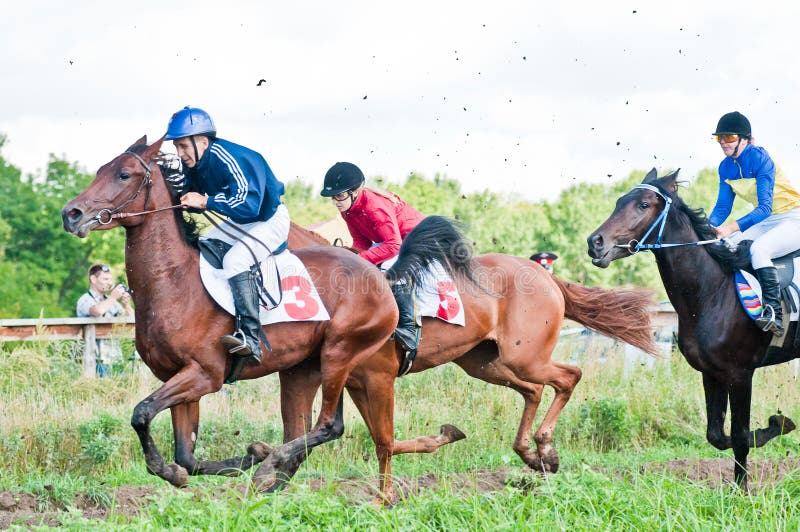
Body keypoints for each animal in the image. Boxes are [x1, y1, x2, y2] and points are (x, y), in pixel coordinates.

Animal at [61, 136, 444, 500]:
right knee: (313, 427)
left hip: (341, 350)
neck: (172, 280)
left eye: (124, 174)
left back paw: (270, 466)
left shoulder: (204, 374)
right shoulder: (180, 378)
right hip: (307, 367)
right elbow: (186, 455)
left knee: (328, 426)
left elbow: (141, 413)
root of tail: (380, 276)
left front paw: (246, 458)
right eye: (100, 170)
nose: (71, 213)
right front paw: (202, 467)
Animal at [281, 215, 659, 474]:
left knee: (568, 376)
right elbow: (380, 439)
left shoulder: (377, 376)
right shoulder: (358, 379)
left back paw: (545, 449)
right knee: (533, 390)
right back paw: (529, 452)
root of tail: (546, 277)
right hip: (486, 362)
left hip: (525, 356)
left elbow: (382, 440)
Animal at [587, 168, 798, 490]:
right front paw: (775, 426)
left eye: (644, 205)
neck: (712, 292)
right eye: (619, 201)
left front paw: (742, 488)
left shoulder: (741, 373)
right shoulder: (712, 372)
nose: (595, 242)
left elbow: (739, 436)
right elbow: (717, 435)